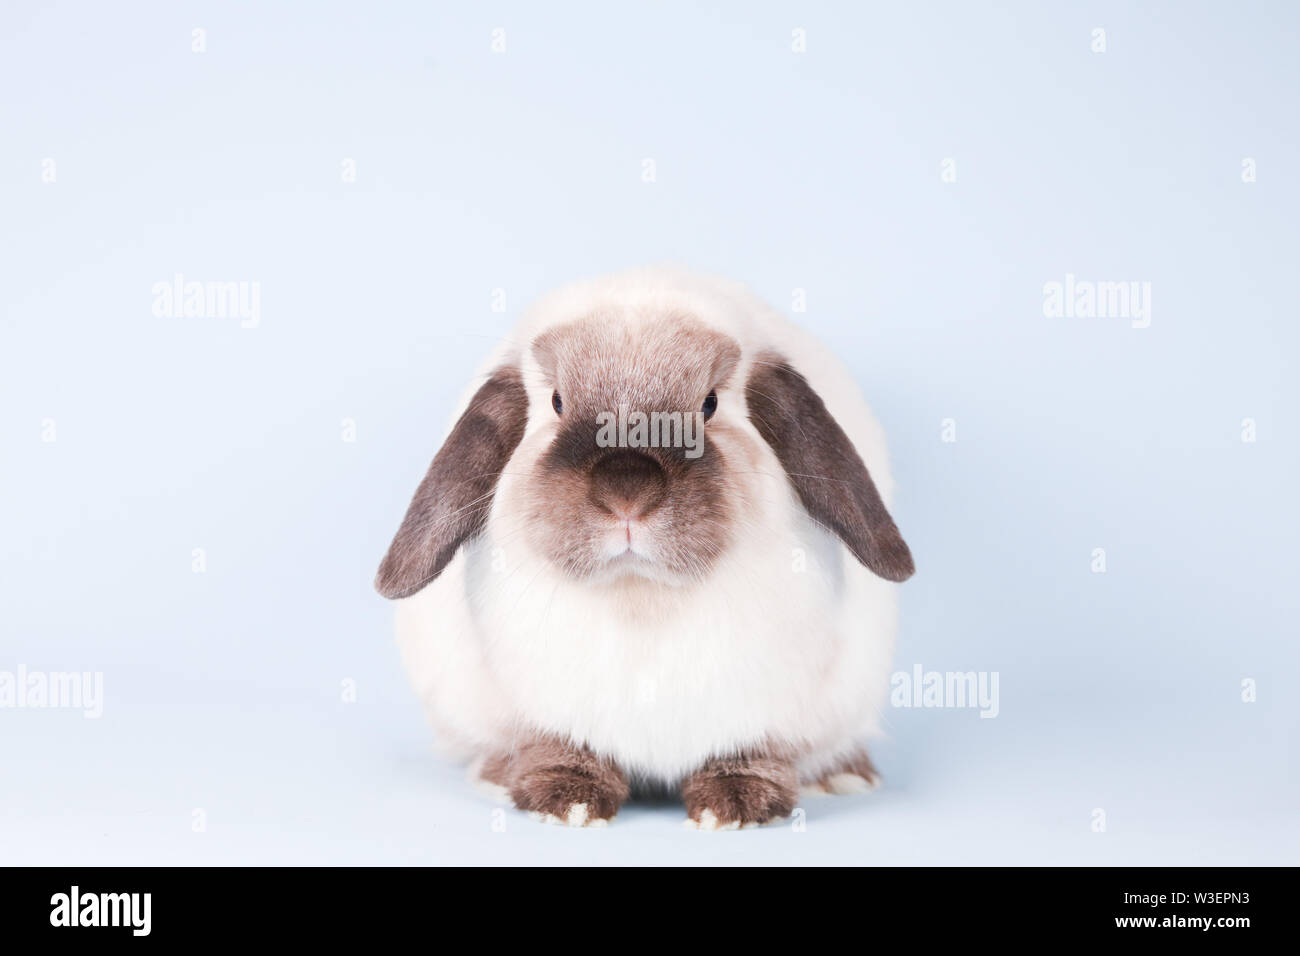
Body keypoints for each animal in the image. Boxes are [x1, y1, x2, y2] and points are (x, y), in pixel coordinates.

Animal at [375, 268, 913, 829]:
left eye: (710, 404)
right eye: (557, 402)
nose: (627, 490)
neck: (640, 597)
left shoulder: (759, 710)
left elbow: (749, 752)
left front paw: (736, 804)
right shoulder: (552, 713)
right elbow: (560, 748)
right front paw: (567, 800)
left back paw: (844, 775)